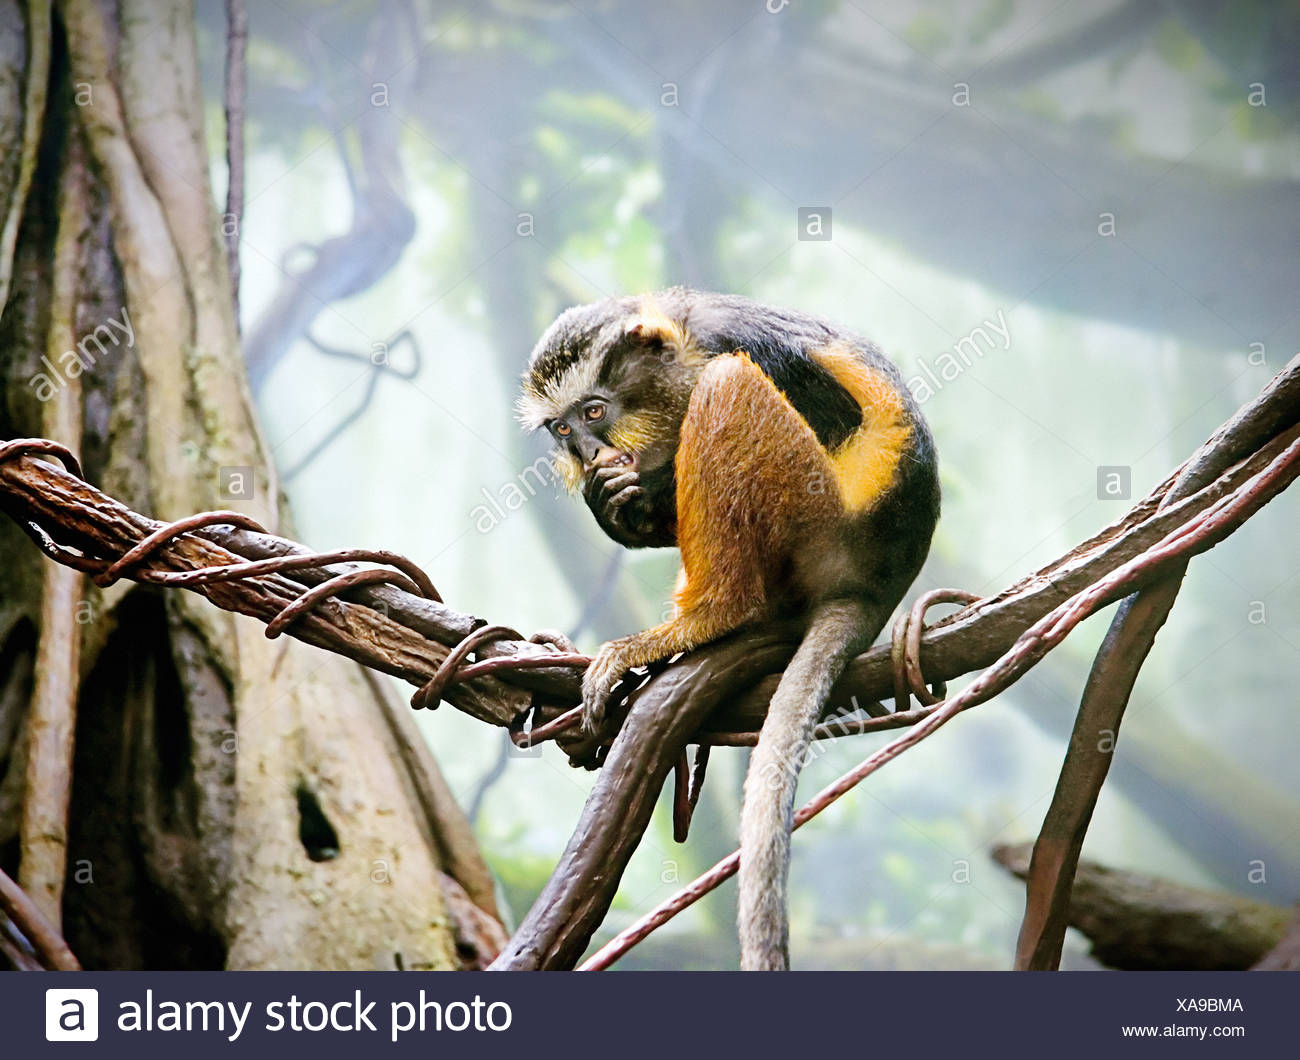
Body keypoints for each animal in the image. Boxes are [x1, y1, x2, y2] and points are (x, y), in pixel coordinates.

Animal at [517, 288, 940, 970]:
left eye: (594, 411)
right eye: (563, 428)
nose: (588, 452)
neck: (683, 340)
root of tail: (878, 583)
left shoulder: (738, 347)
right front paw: (612, 501)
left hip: (813, 512)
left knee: (730, 386)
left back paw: (710, 616)